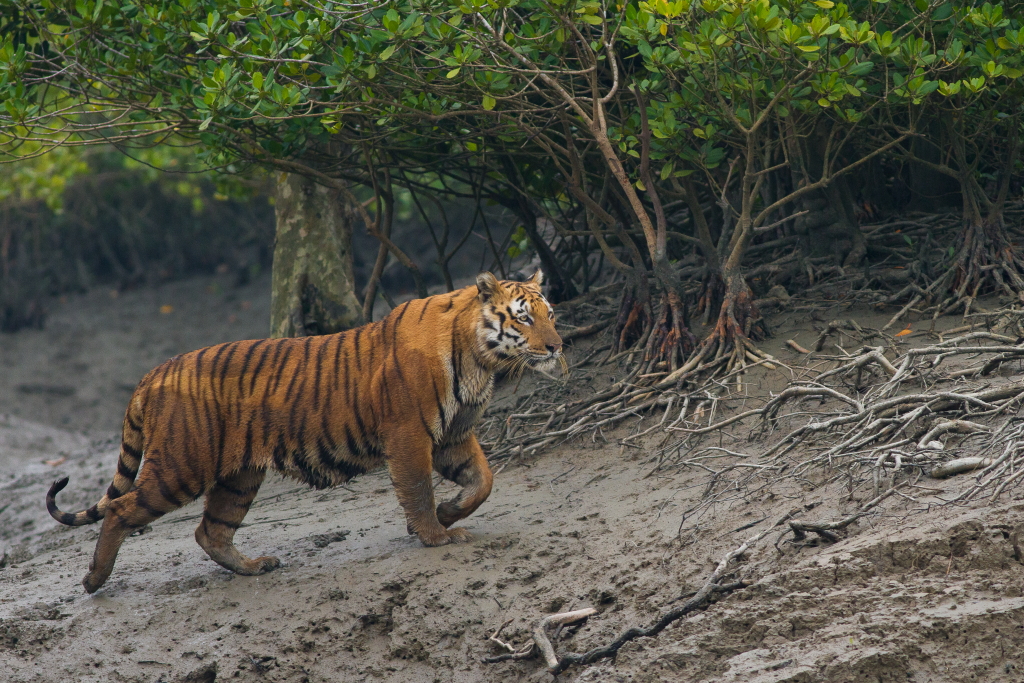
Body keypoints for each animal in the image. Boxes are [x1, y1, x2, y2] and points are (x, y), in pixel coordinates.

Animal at [46, 270, 563, 594]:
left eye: (551, 314)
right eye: (523, 316)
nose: (558, 346)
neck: (479, 359)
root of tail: (152, 372)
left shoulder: (452, 435)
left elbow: (483, 481)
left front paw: (450, 513)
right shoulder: (409, 435)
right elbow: (417, 488)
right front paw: (436, 535)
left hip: (239, 476)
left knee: (210, 530)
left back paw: (254, 568)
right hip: (181, 466)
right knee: (120, 509)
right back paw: (94, 580)